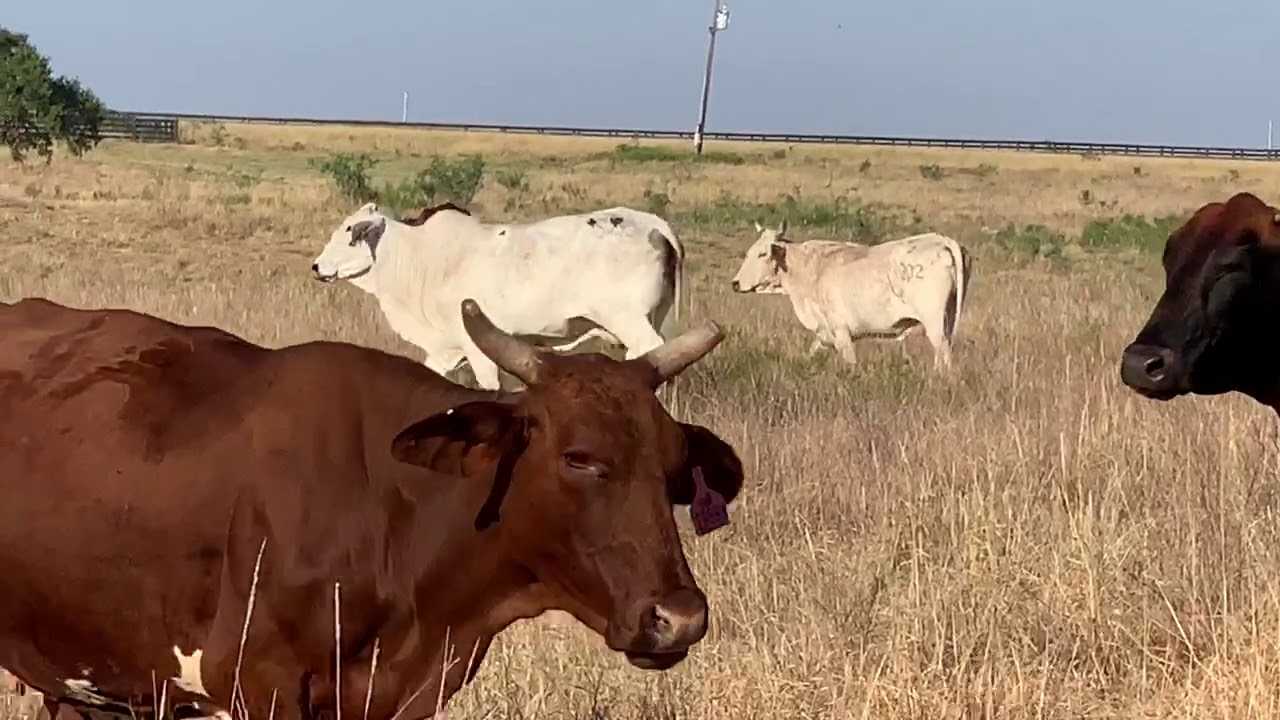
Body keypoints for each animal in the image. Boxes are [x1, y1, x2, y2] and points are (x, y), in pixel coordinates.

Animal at [311, 202, 685, 390]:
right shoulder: (446, 349)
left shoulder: (476, 346)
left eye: (350, 233)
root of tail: (656, 226)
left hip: (628, 319)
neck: (421, 258)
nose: (317, 266)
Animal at [729, 221, 971, 370]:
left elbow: (849, 362)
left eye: (762, 254)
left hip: (934, 323)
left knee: (942, 352)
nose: (735, 283)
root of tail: (942, 239)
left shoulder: (841, 331)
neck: (810, 267)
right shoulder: (824, 332)